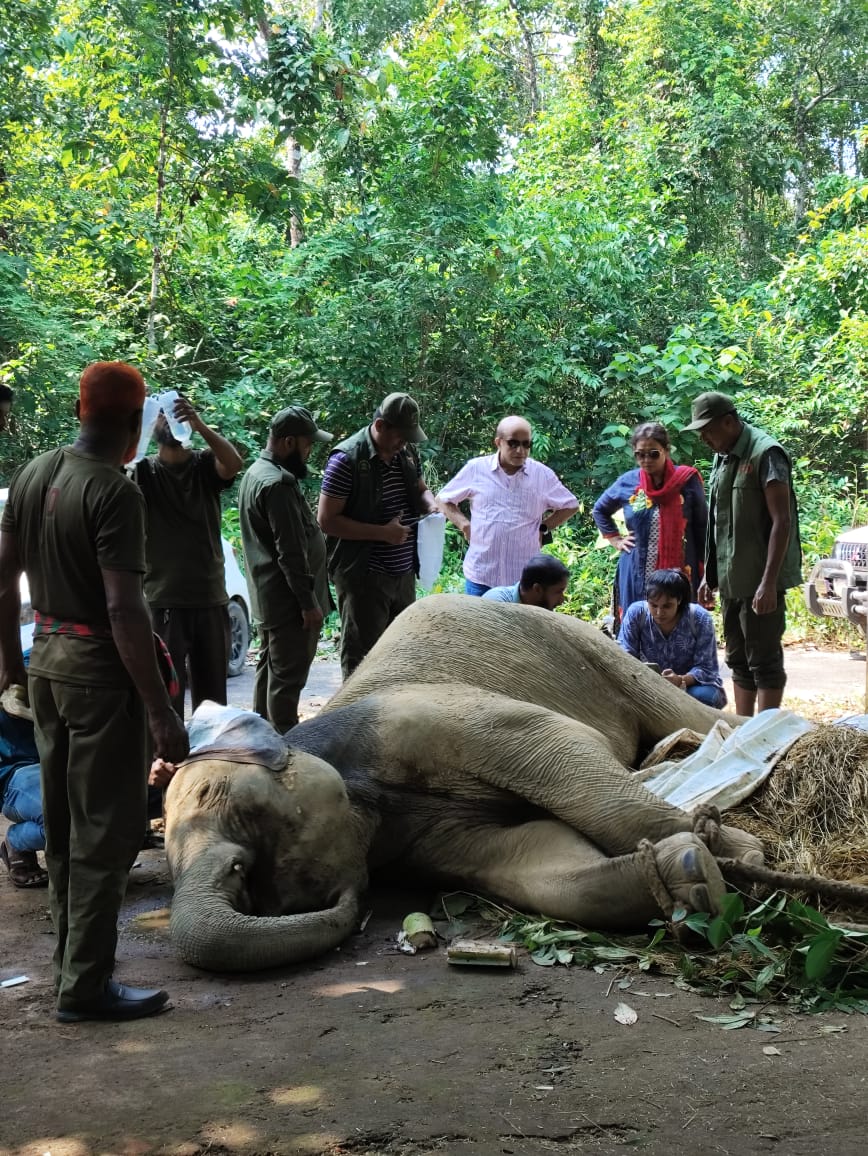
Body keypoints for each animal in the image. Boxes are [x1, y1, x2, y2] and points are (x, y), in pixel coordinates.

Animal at [165, 594, 763, 972]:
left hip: (589, 645)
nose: (240, 878)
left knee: (669, 705)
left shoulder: (424, 716)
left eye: (221, 799)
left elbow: (560, 744)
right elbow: (534, 856)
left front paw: (741, 855)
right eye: (256, 890)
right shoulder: (420, 840)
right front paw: (691, 878)